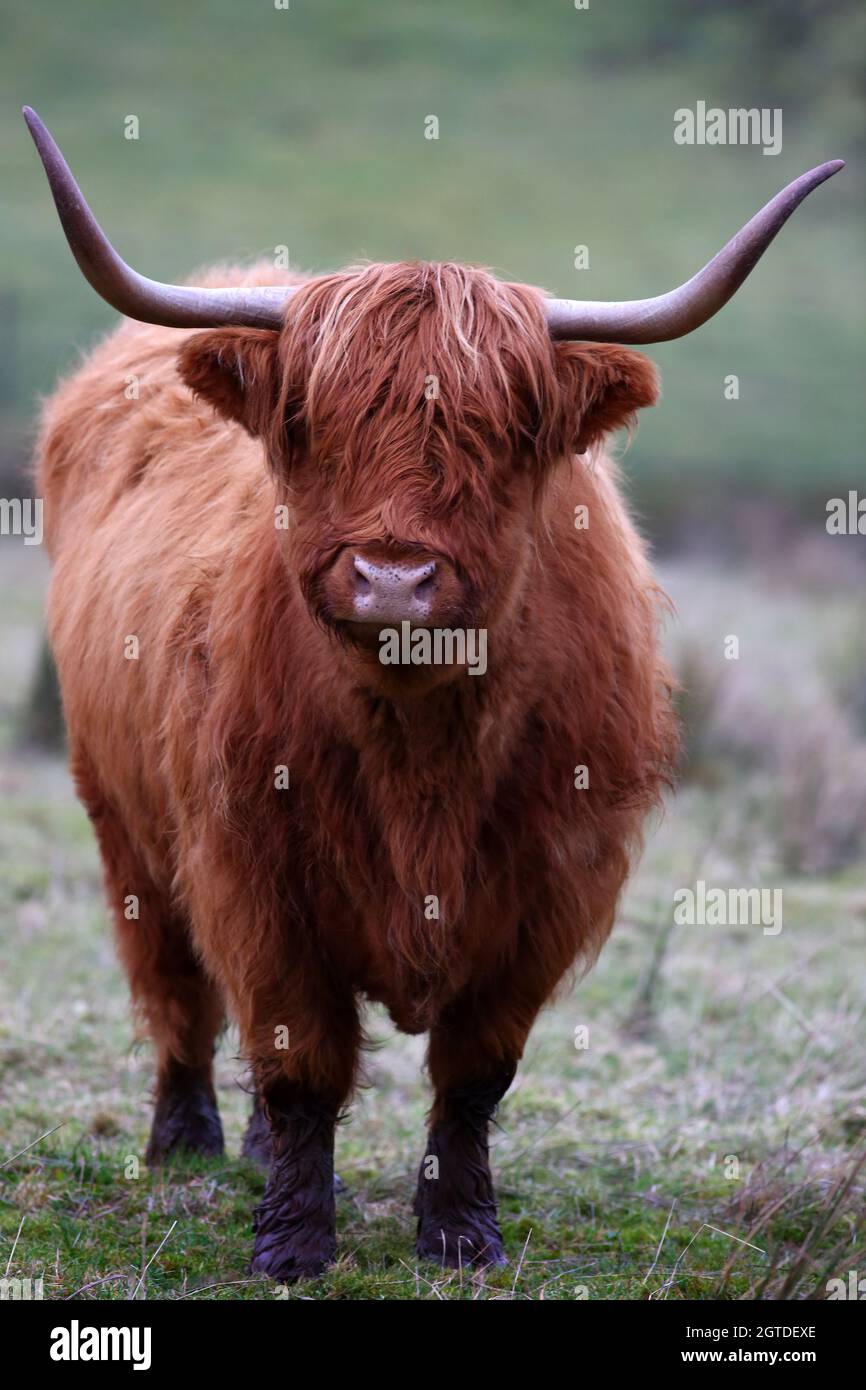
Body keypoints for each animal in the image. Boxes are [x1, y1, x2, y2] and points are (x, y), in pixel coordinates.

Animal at [24, 107, 842, 1279]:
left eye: (501, 433)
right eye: (309, 425)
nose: (392, 576)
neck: (421, 743)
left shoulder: (549, 884)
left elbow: (473, 1071)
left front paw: (458, 1230)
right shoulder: (249, 867)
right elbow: (298, 1058)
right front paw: (293, 1242)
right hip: (121, 815)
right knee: (175, 985)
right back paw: (184, 1140)